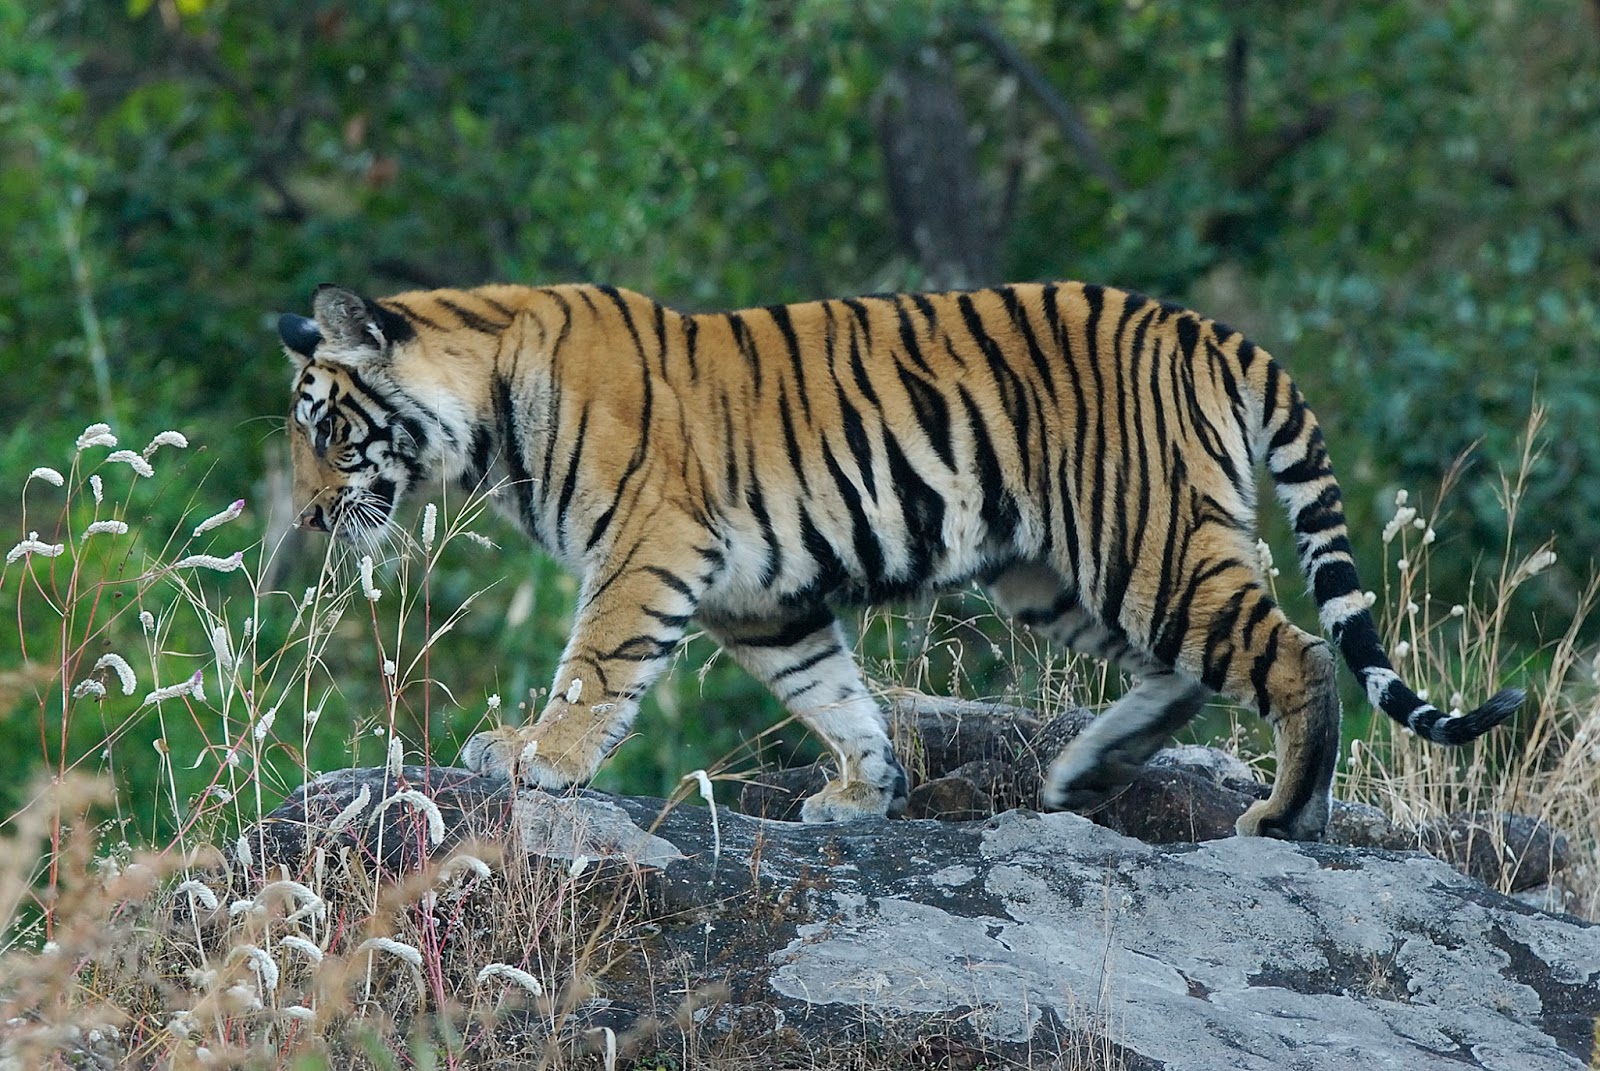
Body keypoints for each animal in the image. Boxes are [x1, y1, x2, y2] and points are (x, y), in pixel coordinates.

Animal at [277, 280, 1522, 840]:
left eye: (326, 431)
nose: (309, 520)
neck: (488, 407)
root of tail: (1201, 328)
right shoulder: (759, 597)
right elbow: (830, 692)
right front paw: (860, 791)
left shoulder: (646, 548)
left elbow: (594, 669)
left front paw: (536, 758)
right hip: (1053, 570)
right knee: (1179, 676)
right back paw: (1080, 776)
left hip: (1146, 542)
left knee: (1297, 654)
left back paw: (1277, 819)